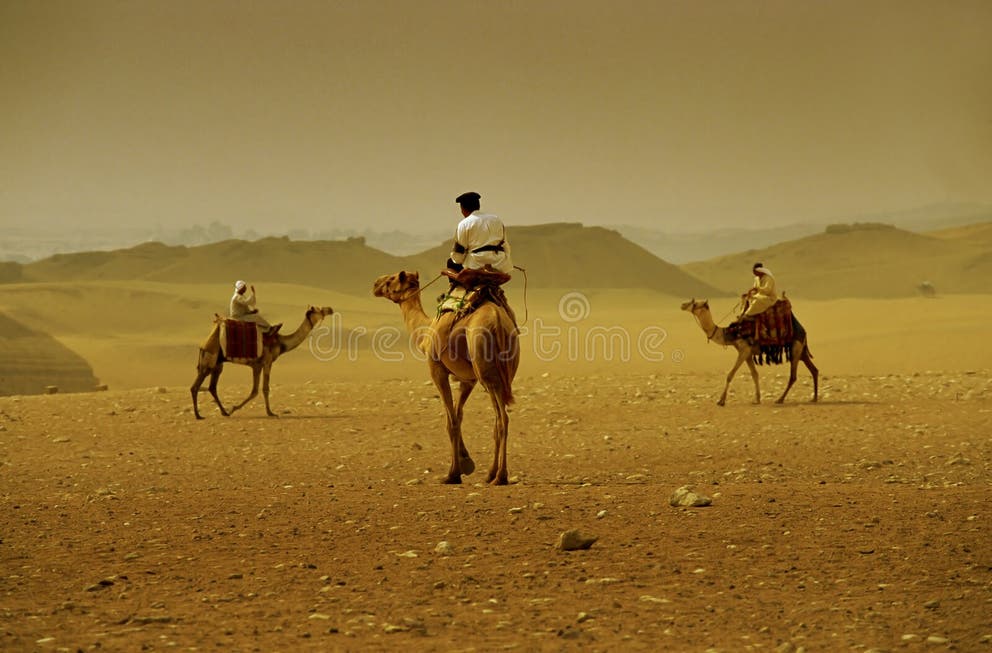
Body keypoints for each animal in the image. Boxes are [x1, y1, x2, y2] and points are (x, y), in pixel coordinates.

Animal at [190, 305, 334, 419]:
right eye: (318, 309)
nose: (330, 309)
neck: (281, 343)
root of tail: (203, 345)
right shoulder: (267, 362)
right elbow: (264, 389)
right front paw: (270, 413)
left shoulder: (256, 366)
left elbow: (255, 391)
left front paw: (232, 409)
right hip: (209, 362)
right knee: (195, 387)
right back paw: (198, 415)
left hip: (217, 364)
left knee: (212, 387)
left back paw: (224, 412)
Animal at [373, 271, 519, 485]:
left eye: (391, 279)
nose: (375, 284)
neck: (425, 331)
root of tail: (498, 322)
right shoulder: (468, 380)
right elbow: (459, 416)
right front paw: (466, 461)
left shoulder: (437, 370)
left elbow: (451, 422)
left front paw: (453, 474)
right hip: (502, 372)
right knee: (498, 419)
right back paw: (491, 474)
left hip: (487, 372)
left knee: (502, 419)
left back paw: (500, 476)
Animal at [681, 299, 818, 406]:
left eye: (694, 303)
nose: (682, 305)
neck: (730, 333)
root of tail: (803, 330)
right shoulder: (747, 354)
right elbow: (754, 374)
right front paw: (757, 399)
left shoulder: (744, 350)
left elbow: (730, 375)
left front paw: (721, 401)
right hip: (802, 351)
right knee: (814, 370)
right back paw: (814, 398)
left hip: (795, 348)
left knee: (793, 376)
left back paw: (780, 399)